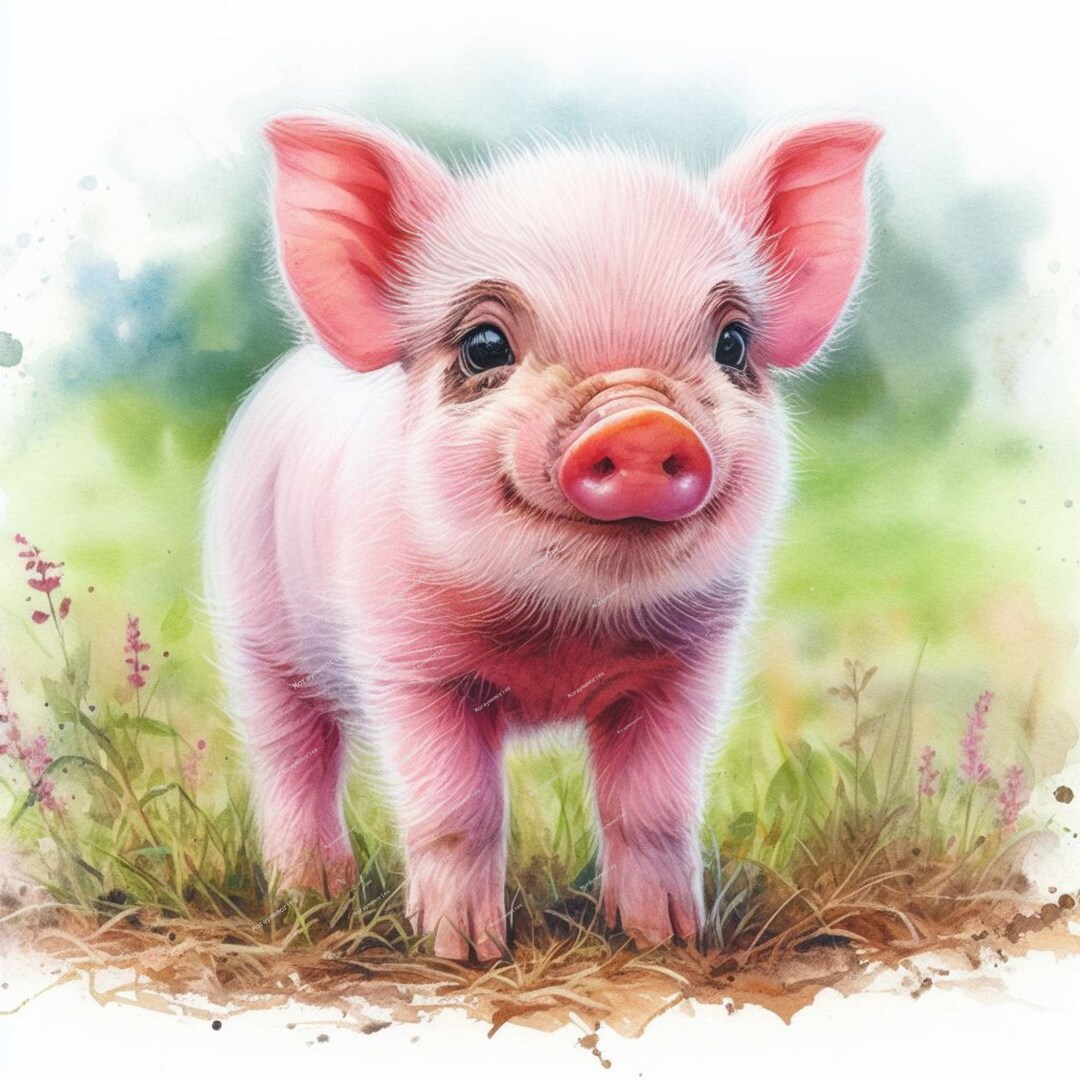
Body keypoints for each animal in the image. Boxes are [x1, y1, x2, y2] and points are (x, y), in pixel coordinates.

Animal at [202, 112, 882, 961]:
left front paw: (664, 942)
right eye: (484, 346)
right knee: (291, 758)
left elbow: (652, 808)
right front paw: (464, 954)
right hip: (252, 625)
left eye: (733, 344)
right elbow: (458, 812)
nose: (640, 423)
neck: (563, 641)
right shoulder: (405, 659)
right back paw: (310, 899)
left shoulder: (692, 662)